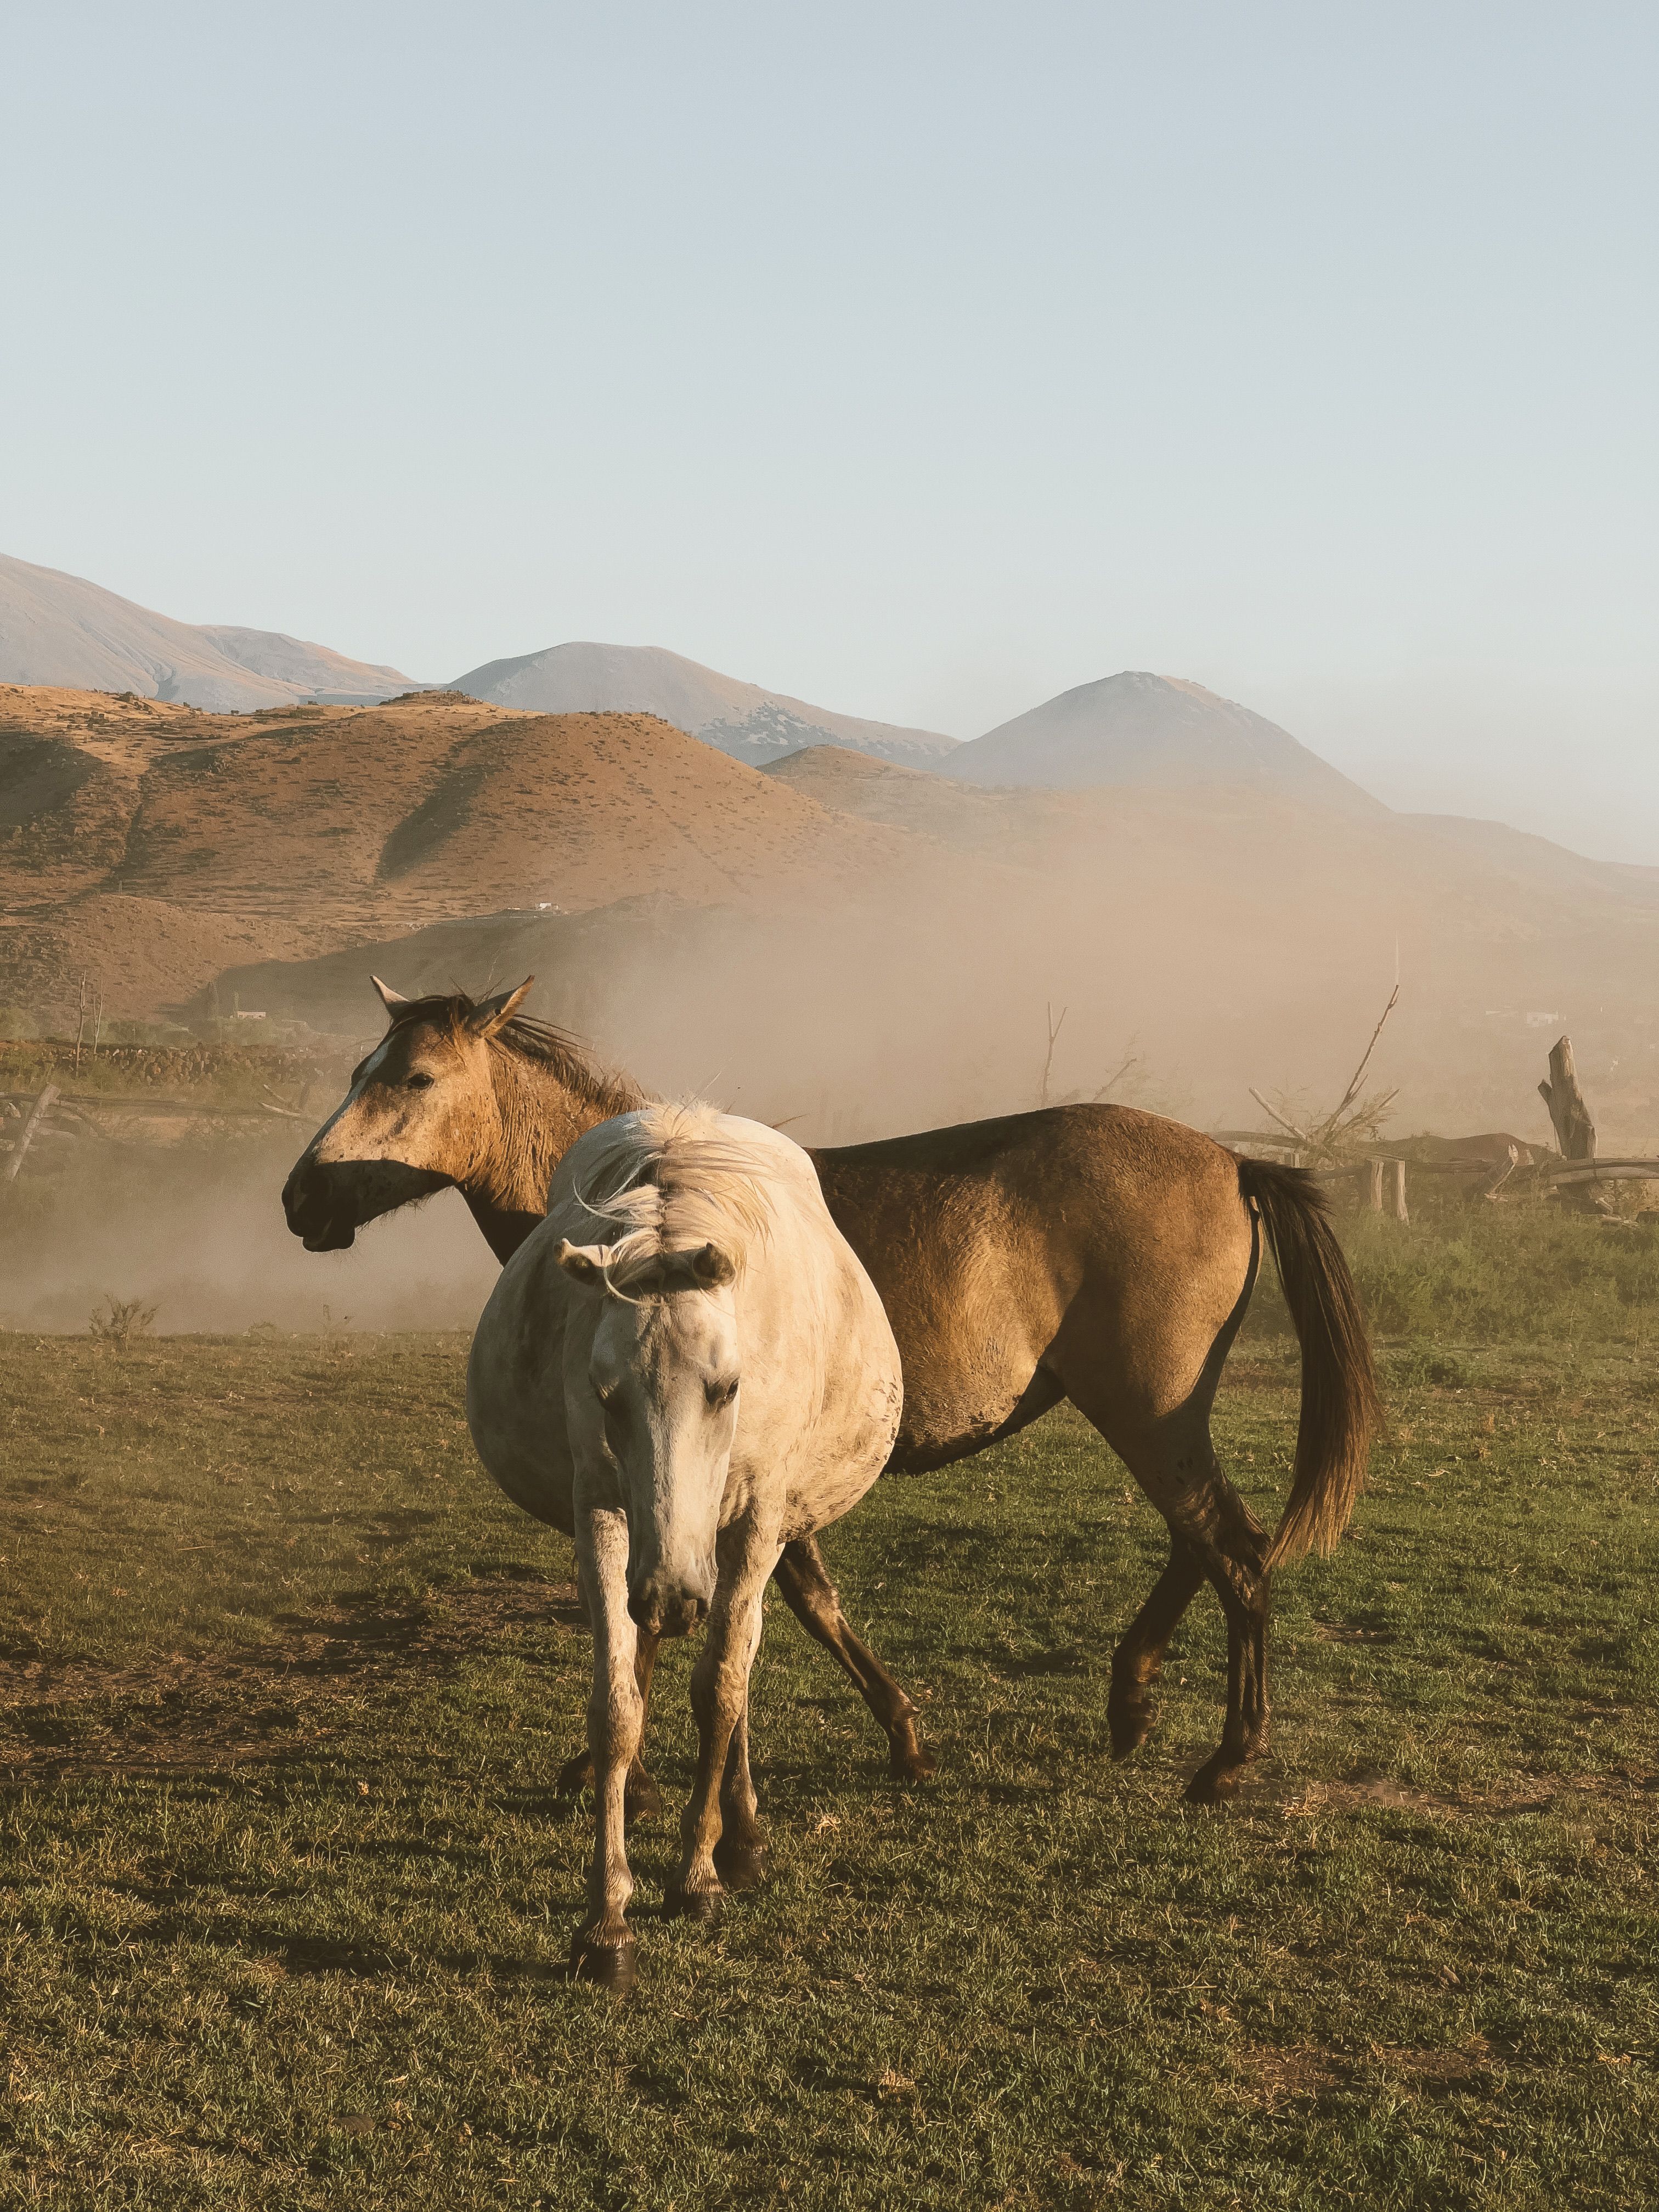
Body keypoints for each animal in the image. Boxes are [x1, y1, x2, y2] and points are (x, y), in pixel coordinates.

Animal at [283, 976, 1380, 1805]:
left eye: (416, 1077)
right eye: (357, 1071)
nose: (301, 1196)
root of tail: (1230, 1159)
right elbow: (805, 1600)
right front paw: (901, 1735)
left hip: (1149, 1413)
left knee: (1233, 1550)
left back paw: (1223, 1758)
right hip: (1155, 1417)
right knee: (1201, 1544)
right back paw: (1130, 1701)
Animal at [468, 1102, 903, 1988]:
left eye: (726, 1387)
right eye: (607, 1396)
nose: (671, 1597)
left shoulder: (757, 1524)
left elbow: (721, 1689)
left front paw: (697, 1875)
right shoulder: (603, 1515)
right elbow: (617, 1706)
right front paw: (606, 1923)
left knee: (737, 1665)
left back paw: (739, 1839)